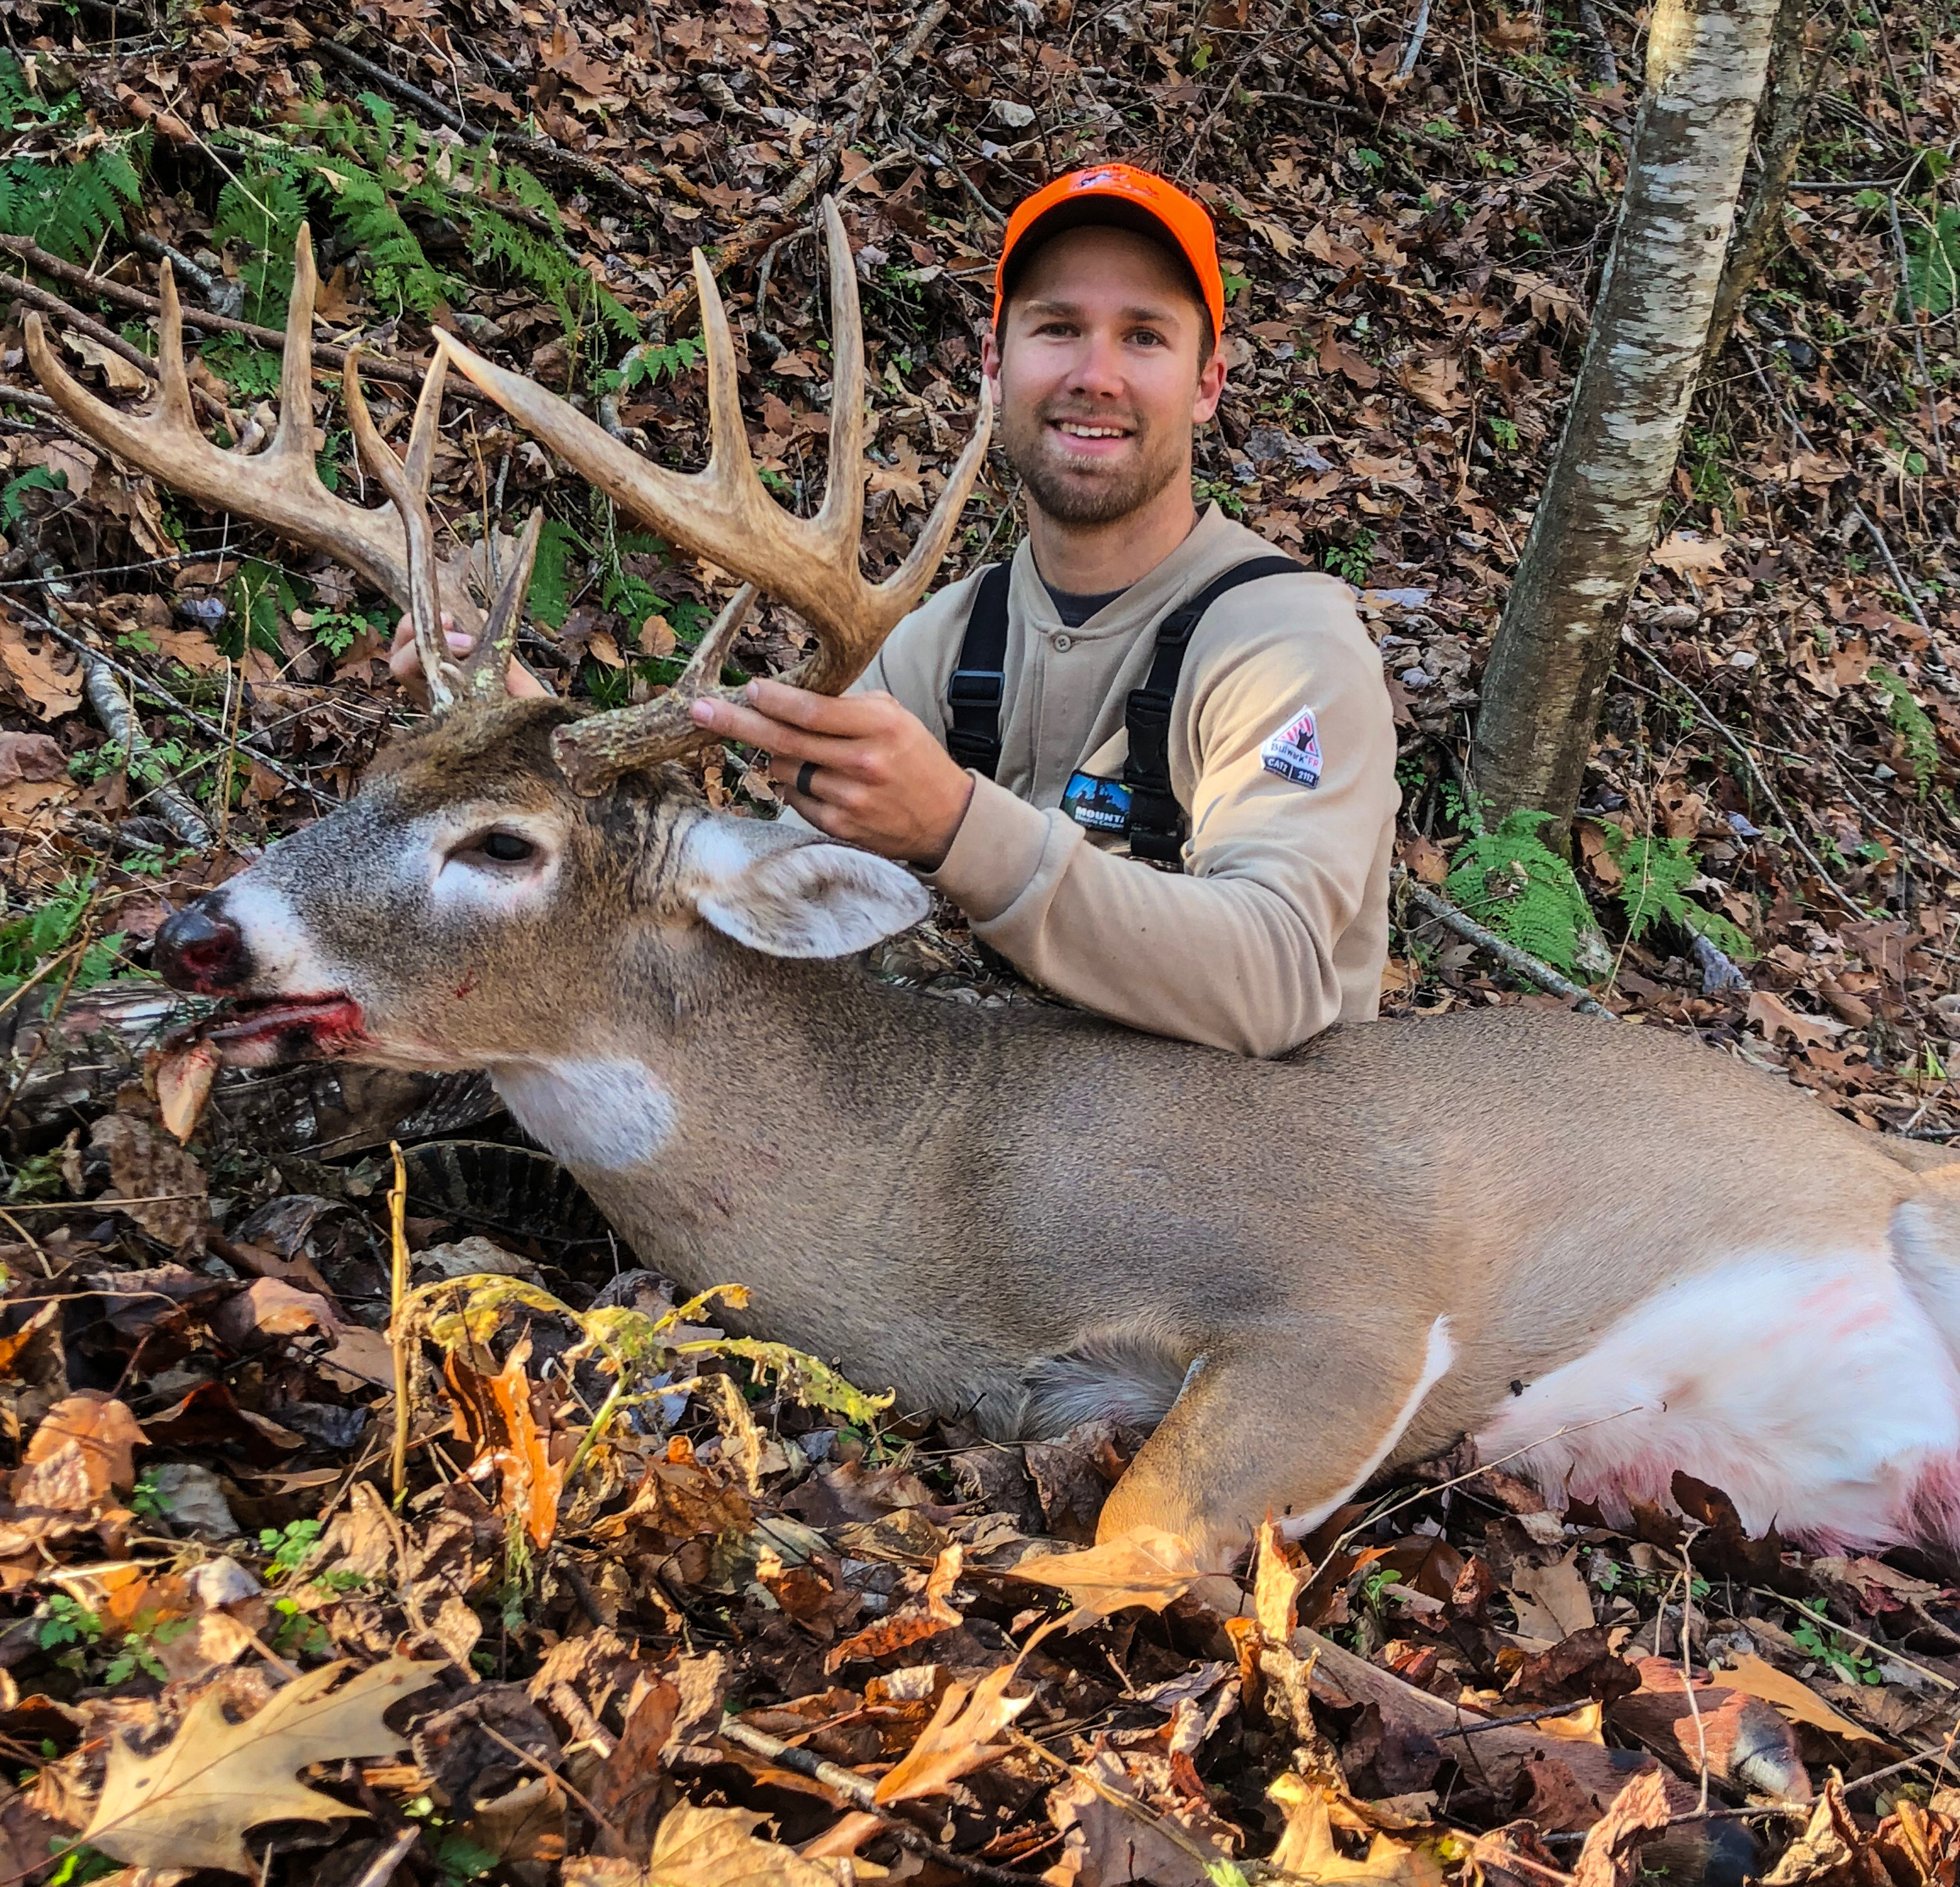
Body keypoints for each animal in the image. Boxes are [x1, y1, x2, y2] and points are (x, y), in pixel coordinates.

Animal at [29, 206, 1960, 1579]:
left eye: (502, 845)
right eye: (369, 775)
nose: (192, 932)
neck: (945, 1197)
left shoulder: (1349, 1284)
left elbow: (1133, 1533)